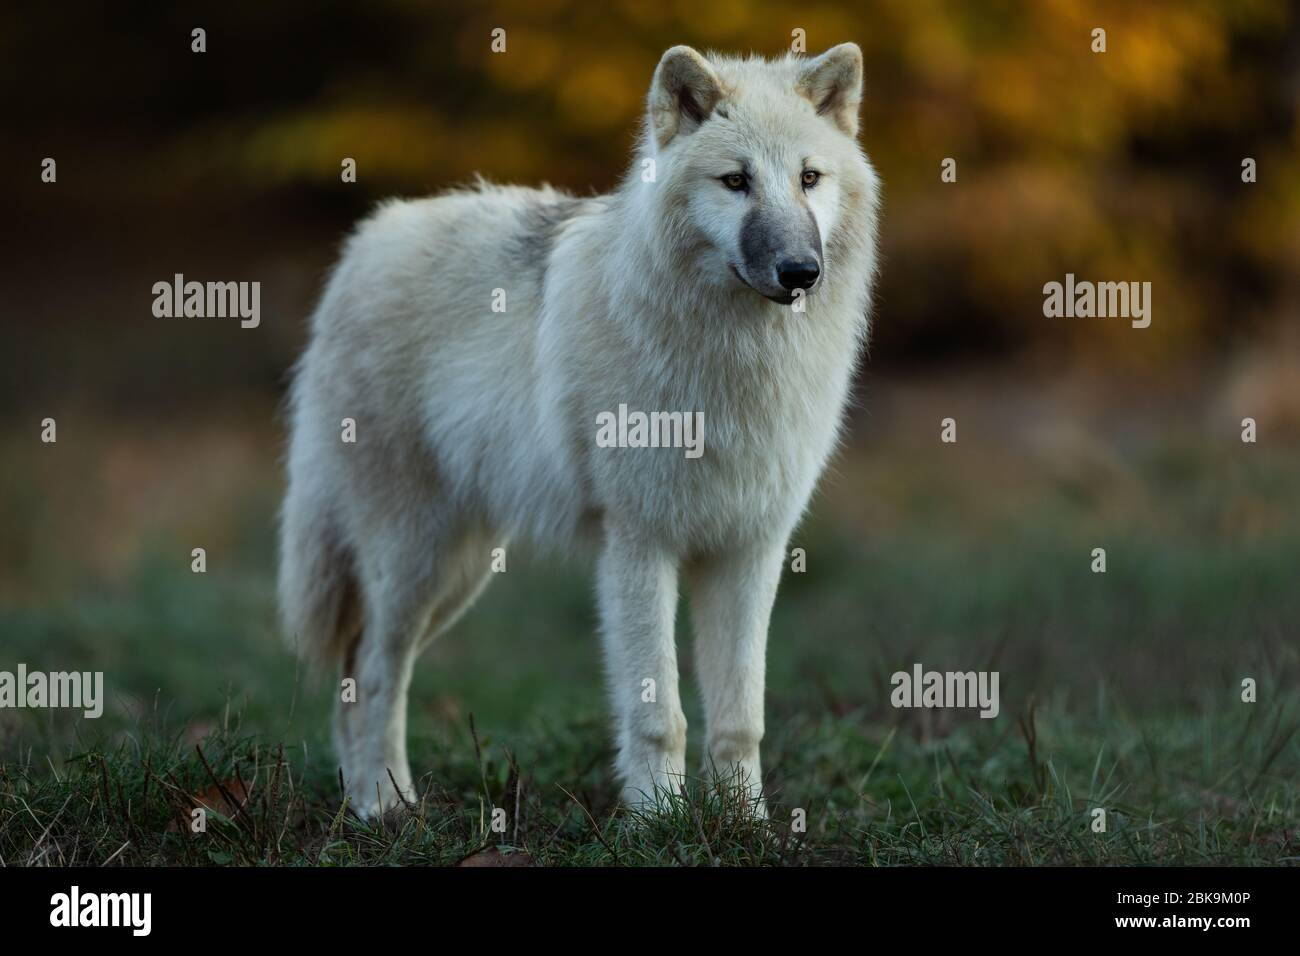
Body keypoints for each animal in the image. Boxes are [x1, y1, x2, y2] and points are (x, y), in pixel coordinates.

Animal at [278, 43, 881, 820]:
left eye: (809, 178)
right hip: (416, 562)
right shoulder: (639, 544)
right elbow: (659, 714)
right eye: (736, 181)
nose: (800, 271)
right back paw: (388, 809)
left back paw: (366, 805)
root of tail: (363, 244)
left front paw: (744, 825)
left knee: (355, 678)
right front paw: (658, 823)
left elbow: (740, 717)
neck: (733, 360)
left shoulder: (749, 549)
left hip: (459, 576)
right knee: (374, 677)